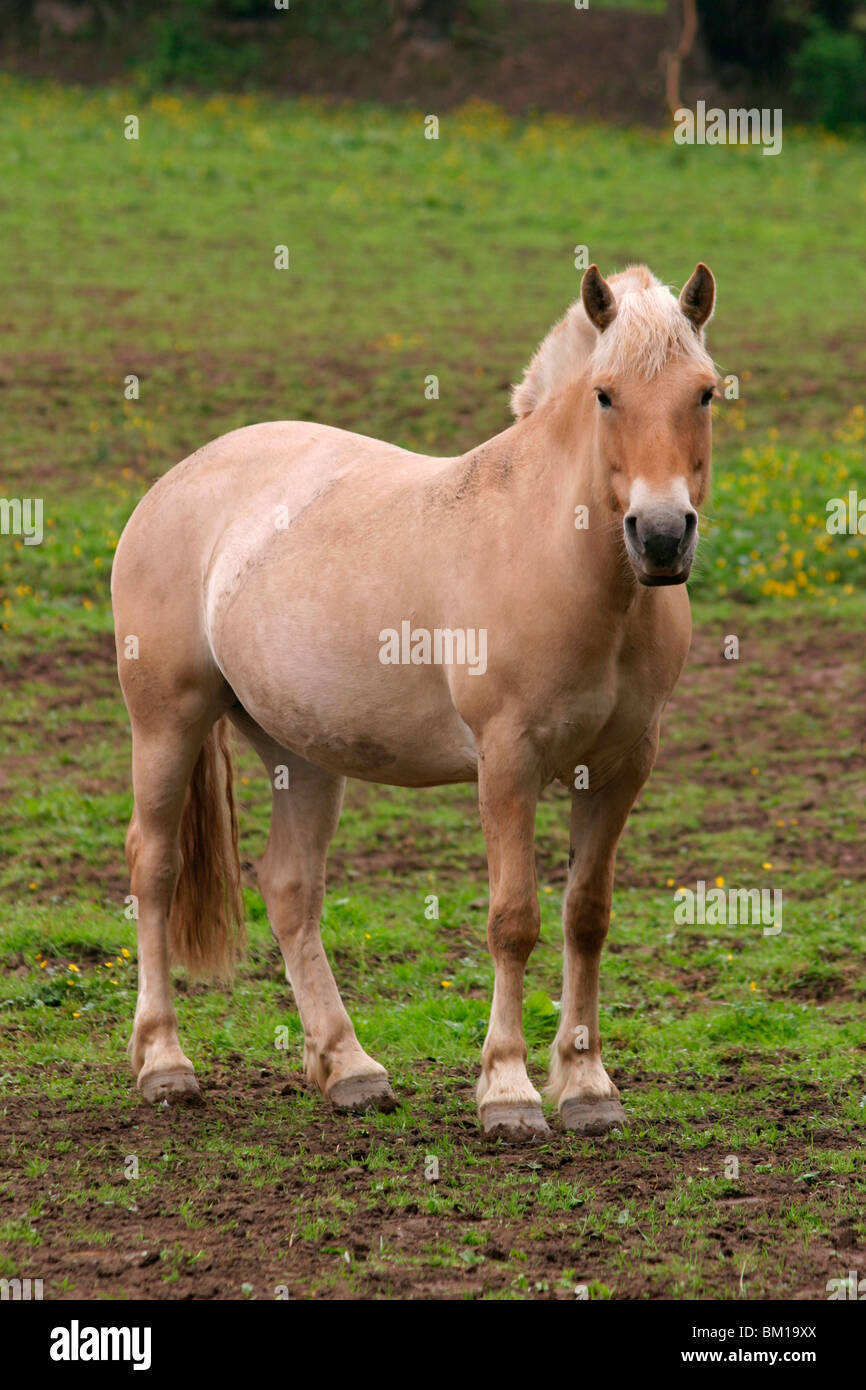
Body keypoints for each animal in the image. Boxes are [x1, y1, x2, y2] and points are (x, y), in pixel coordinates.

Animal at [111, 261, 717, 1142]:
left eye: (704, 392)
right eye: (605, 394)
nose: (663, 536)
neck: (561, 559)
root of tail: (177, 479)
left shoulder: (620, 768)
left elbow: (587, 917)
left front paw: (587, 1086)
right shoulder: (508, 762)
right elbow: (514, 920)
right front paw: (509, 1092)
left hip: (301, 754)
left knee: (290, 891)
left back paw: (349, 1068)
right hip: (166, 723)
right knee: (153, 869)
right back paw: (165, 1062)